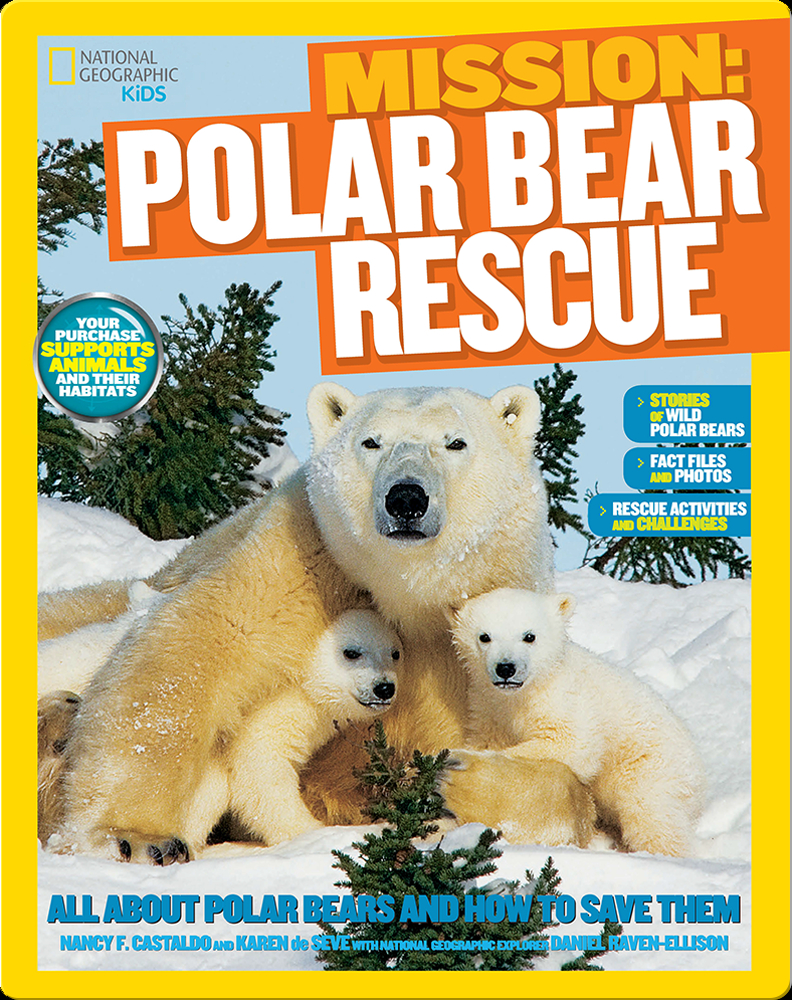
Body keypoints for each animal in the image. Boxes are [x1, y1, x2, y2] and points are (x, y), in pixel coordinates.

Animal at [44, 383, 593, 862]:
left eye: (455, 442)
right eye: (371, 441)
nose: (406, 498)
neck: (409, 596)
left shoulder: (478, 625)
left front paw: (465, 780)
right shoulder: (301, 558)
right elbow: (192, 651)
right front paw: (138, 836)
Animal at [451, 588, 706, 856]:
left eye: (529, 636)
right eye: (484, 637)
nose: (506, 668)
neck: (522, 694)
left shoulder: (565, 700)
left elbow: (573, 744)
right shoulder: (488, 707)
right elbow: (485, 736)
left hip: (652, 766)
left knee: (649, 813)